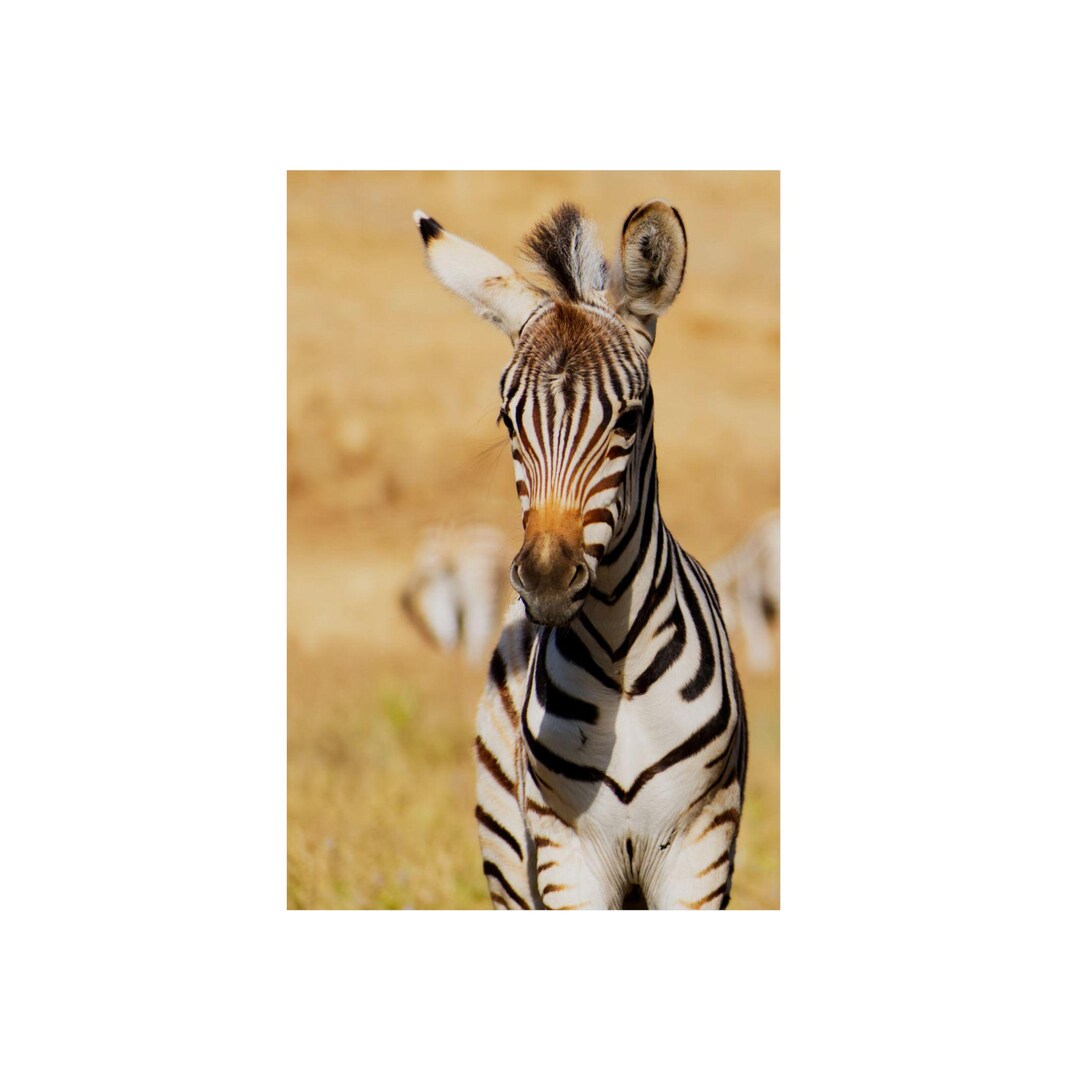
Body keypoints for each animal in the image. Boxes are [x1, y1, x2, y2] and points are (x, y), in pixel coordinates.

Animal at [413, 200, 748, 910]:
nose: (544, 581)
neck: (623, 668)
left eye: (628, 420)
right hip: (509, 857)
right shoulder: (568, 854)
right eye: (508, 422)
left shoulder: (701, 849)